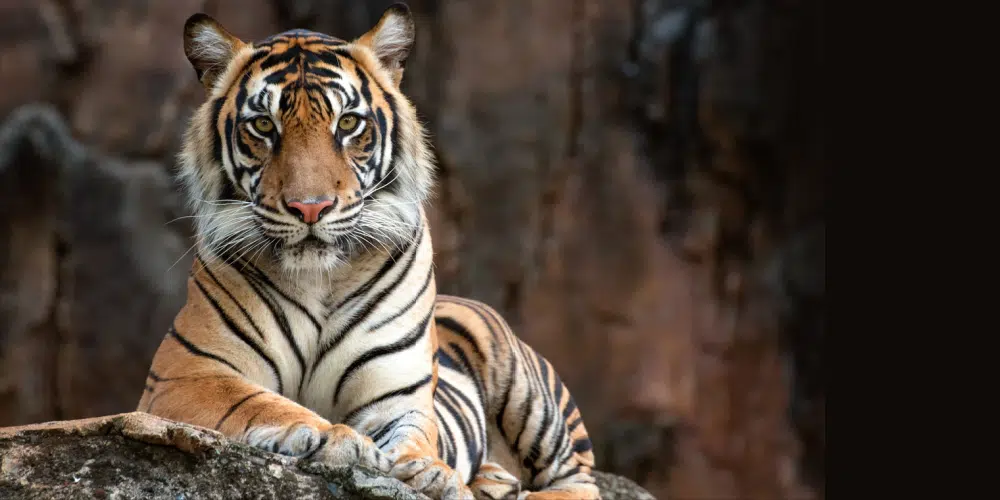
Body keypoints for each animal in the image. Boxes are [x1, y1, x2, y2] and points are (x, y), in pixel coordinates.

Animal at [136, 4, 598, 499]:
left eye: (347, 124)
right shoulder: (188, 373)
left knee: (580, 478)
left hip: (529, 397)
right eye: (263, 126)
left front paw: (430, 472)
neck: (319, 278)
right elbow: (260, 402)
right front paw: (329, 436)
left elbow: (416, 435)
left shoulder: (398, 393)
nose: (310, 207)